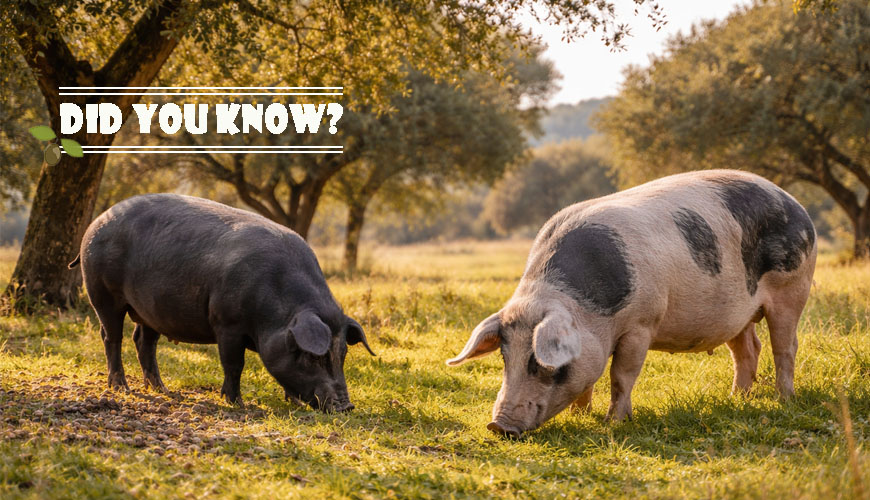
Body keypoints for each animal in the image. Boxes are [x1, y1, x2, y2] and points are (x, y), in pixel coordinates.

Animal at [70, 193, 374, 411]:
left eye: (342, 354)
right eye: (314, 356)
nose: (346, 407)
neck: (277, 309)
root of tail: (96, 222)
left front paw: (295, 402)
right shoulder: (227, 323)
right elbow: (234, 364)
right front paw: (237, 404)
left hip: (148, 309)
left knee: (143, 341)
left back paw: (162, 389)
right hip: (102, 293)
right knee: (111, 336)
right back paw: (121, 388)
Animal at [447, 170, 817, 437]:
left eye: (540, 363)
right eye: (504, 357)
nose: (498, 426)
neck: (586, 314)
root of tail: (794, 202)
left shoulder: (642, 323)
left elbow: (621, 375)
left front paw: (614, 422)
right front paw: (581, 415)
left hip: (792, 289)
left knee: (785, 346)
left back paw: (785, 400)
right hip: (737, 313)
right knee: (748, 350)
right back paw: (736, 399)